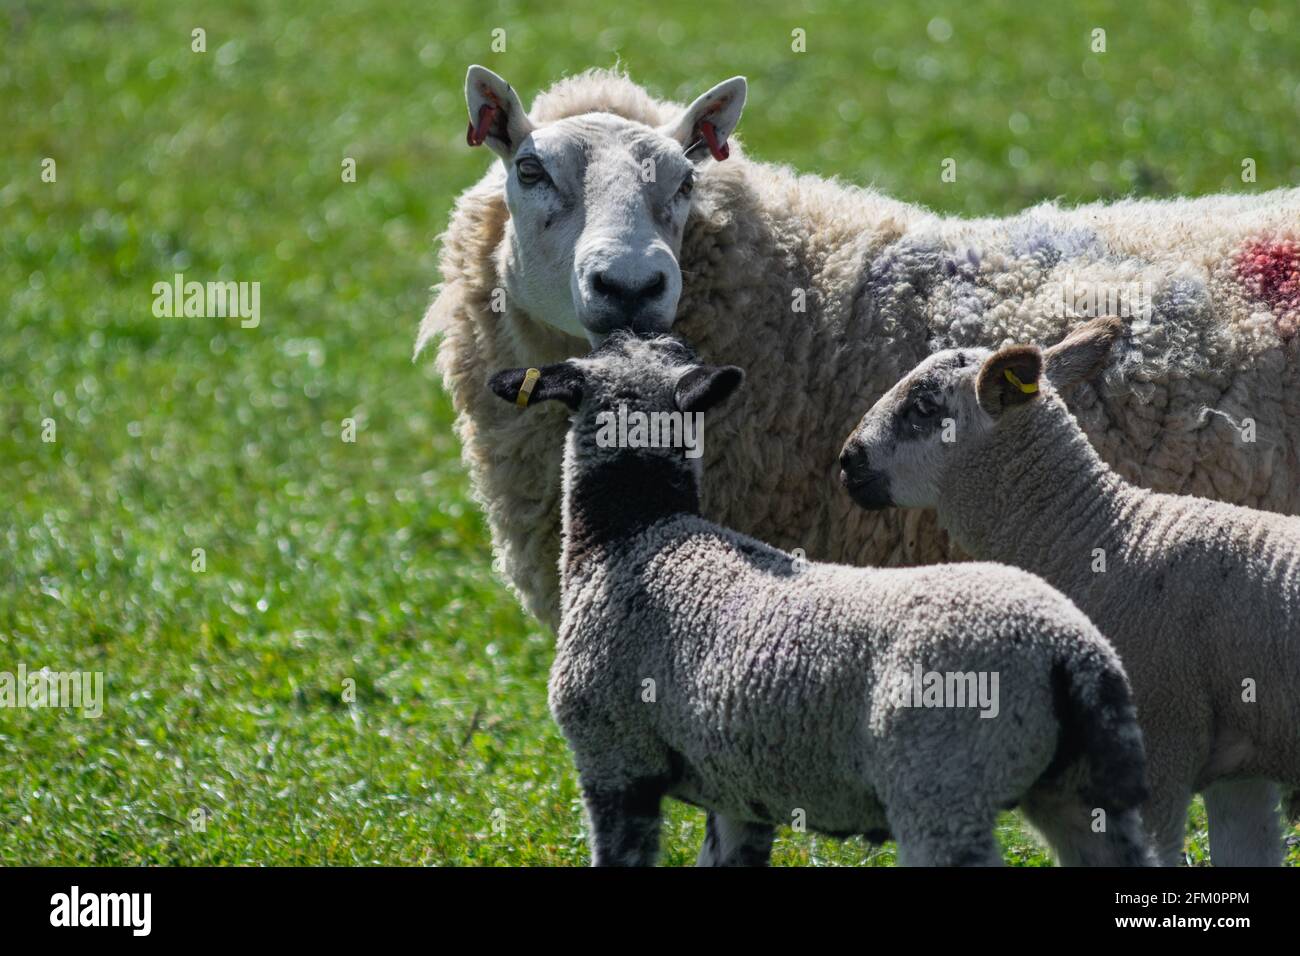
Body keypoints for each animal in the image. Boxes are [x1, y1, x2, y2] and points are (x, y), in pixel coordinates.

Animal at [486, 331, 1157, 867]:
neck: (636, 531)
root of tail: (1066, 652)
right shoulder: (739, 790)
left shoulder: (614, 758)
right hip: (1084, 789)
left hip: (941, 789)